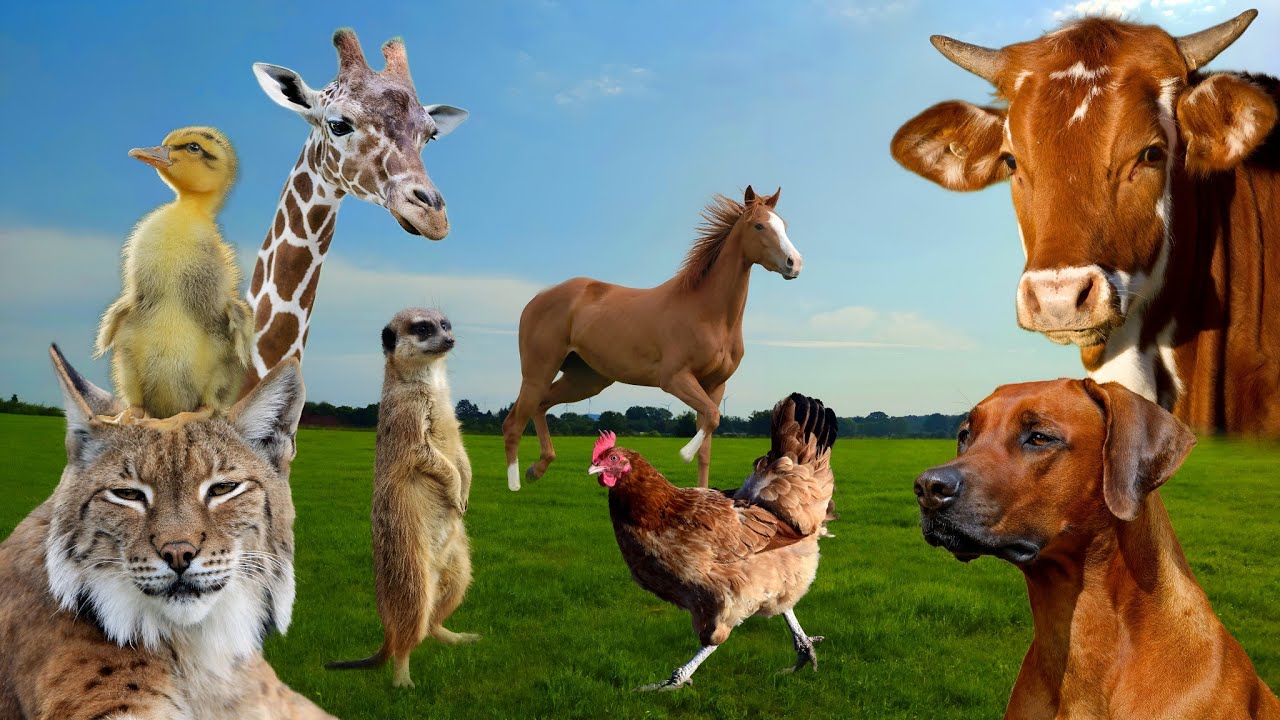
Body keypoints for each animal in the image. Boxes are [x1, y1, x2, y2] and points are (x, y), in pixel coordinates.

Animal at [502, 186, 802, 491]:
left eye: (783, 225)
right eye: (759, 225)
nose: (794, 263)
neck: (708, 313)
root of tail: (536, 299)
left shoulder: (715, 386)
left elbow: (707, 442)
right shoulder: (674, 378)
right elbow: (712, 418)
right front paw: (684, 453)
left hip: (585, 380)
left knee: (540, 406)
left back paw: (537, 469)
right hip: (538, 373)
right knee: (513, 423)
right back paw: (515, 484)